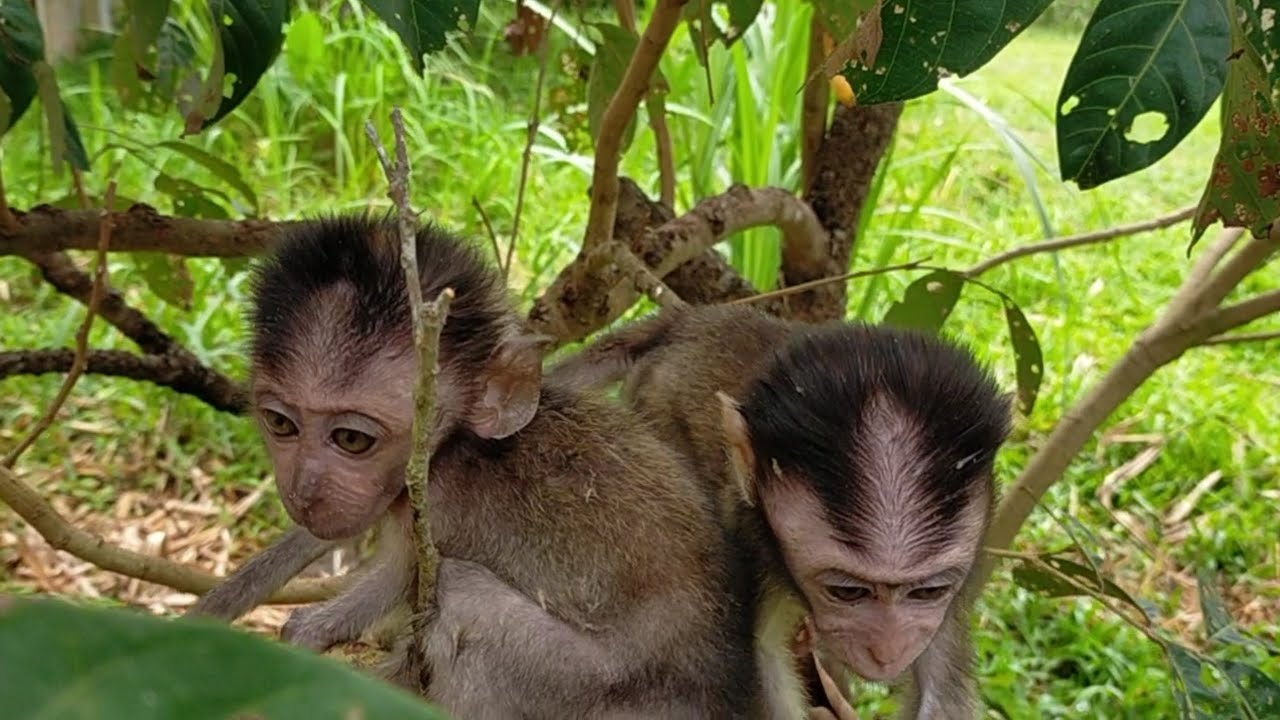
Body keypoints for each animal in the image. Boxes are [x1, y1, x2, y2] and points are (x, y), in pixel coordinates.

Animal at [186, 216, 757, 718]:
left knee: (463, 600)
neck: (451, 447)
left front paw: (317, 630)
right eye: (281, 425)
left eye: (351, 439)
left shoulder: (436, 500)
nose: (304, 489)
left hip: (596, 689)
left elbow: (403, 579)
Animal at [548, 303, 1012, 719]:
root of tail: (691, 321)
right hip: (657, 403)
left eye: (927, 593)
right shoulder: (752, 535)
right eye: (847, 592)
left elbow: (942, 681)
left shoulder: (960, 575)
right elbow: (760, 661)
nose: (887, 652)